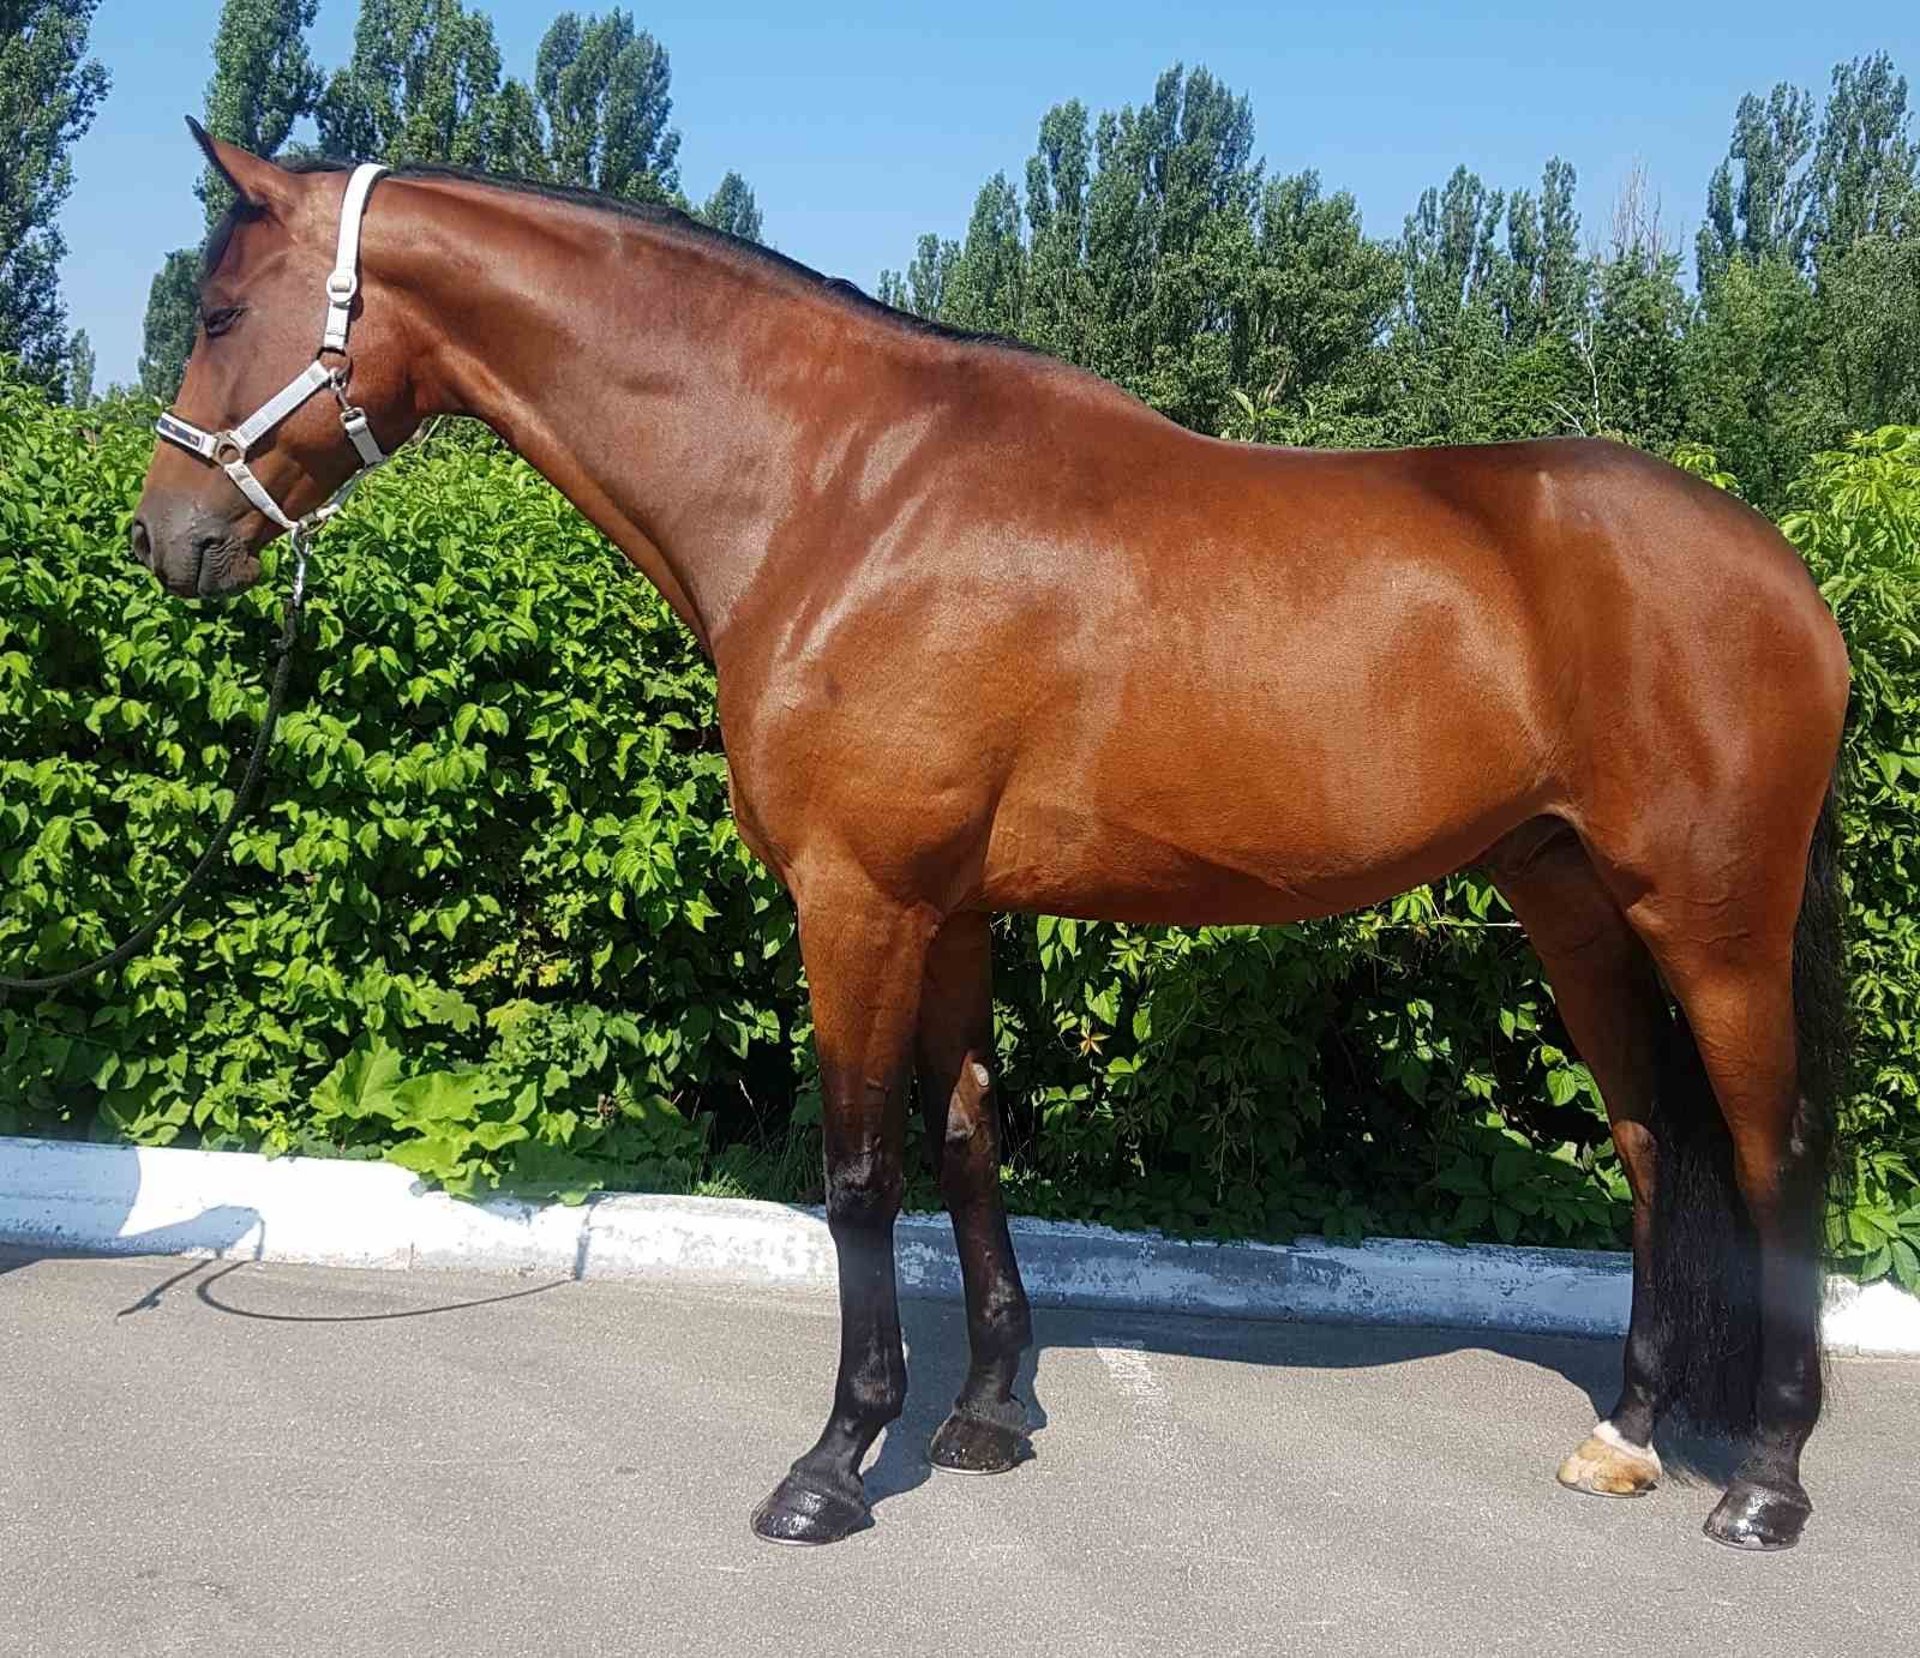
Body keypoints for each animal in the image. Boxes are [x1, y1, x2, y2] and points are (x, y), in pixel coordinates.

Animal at [130, 122, 1850, 1552]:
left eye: (220, 313)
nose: (169, 538)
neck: (843, 490)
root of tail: (1783, 574)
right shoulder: (951, 908)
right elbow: (966, 1142)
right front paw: (983, 1415)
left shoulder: (857, 901)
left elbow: (860, 1174)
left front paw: (835, 1460)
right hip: (1570, 898)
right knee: (1654, 1139)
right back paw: (1629, 1434)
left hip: (1712, 919)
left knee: (1770, 1154)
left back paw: (1766, 1480)